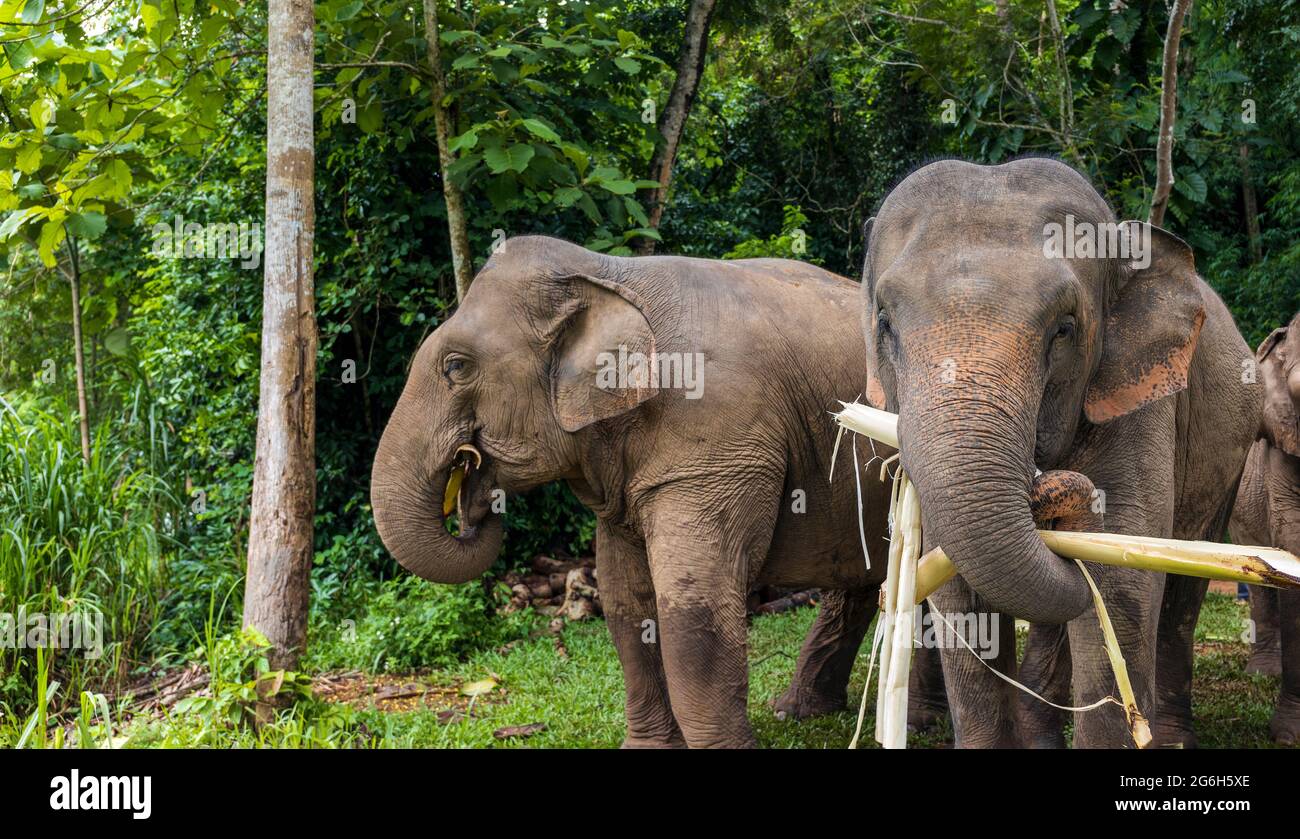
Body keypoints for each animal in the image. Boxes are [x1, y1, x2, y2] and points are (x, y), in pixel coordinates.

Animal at [370, 235, 897, 748]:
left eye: (456, 366)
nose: (470, 491)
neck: (606, 273)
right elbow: (624, 597)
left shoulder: (719, 441)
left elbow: (694, 602)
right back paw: (797, 712)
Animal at [857, 158, 1259, 747]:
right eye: (884, 322)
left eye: (1065, 329)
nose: (1047, 488)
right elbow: (958, 592)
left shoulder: (1134, 402)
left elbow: (1118, 583)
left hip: (1230, 460)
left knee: (1184, 585)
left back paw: (1170, 734)